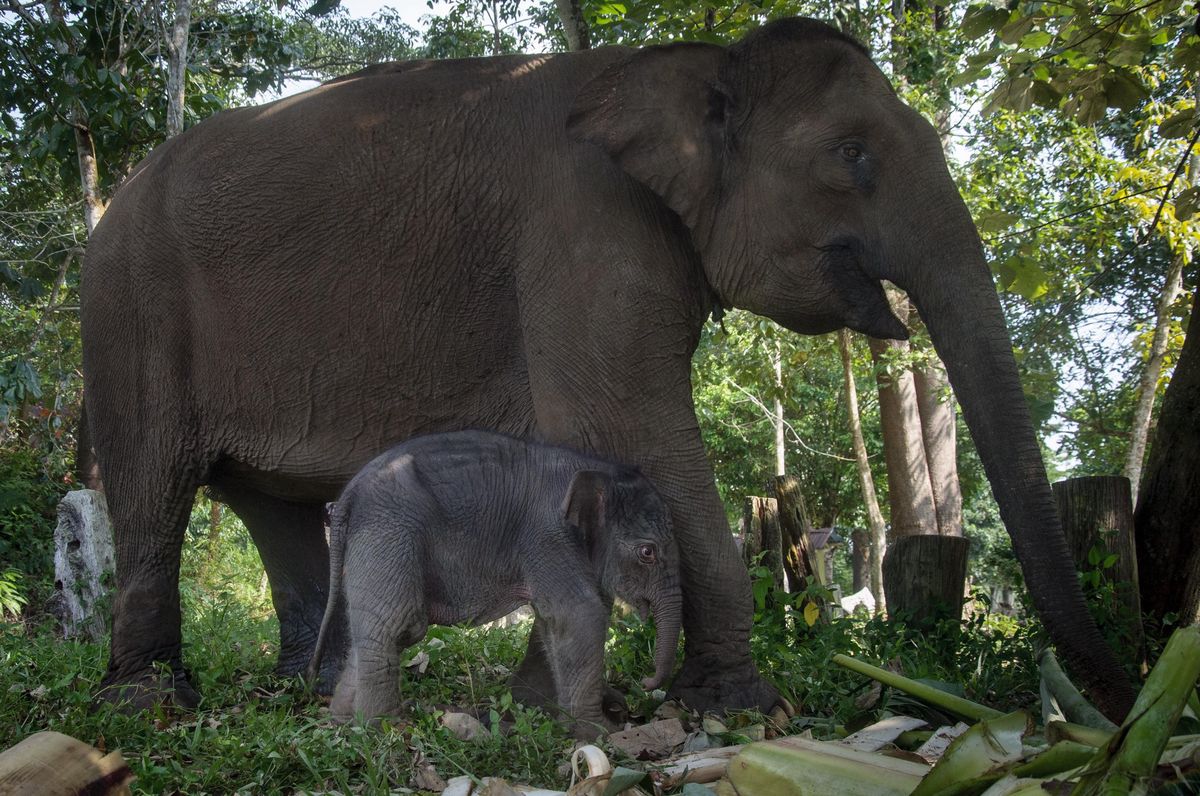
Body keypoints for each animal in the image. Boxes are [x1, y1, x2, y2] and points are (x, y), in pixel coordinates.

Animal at [305, 430, 681, 738]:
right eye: (647, 552)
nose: (645, 683)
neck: (596, 469)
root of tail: (346, 498)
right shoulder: (547, 536)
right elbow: (580, 614)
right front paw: (598, 732)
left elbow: (551, 621)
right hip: (390, 533)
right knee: (398, 625)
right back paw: (387, 729)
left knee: (376, 630)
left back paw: (345, 723)